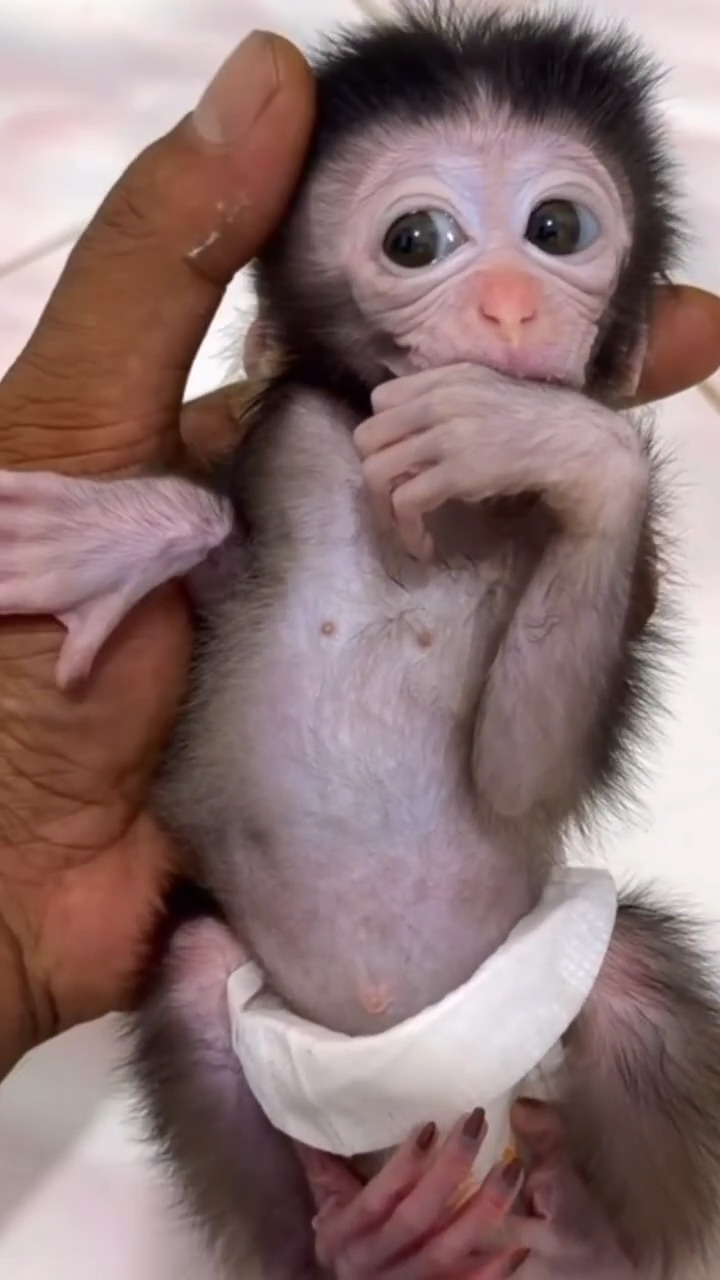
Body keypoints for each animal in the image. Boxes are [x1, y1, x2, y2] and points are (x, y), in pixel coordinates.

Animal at [1, 4, 720, 1277]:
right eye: (416, 240)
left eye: (557, 228)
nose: (510, 307)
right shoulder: (287, 444)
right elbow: (212, 531)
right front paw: (110, 539)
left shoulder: (628, 573)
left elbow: (523, 770)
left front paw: (534, 436)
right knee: (192, 997)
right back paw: (364, 1239)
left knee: (636, 986)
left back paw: (580, 1233)